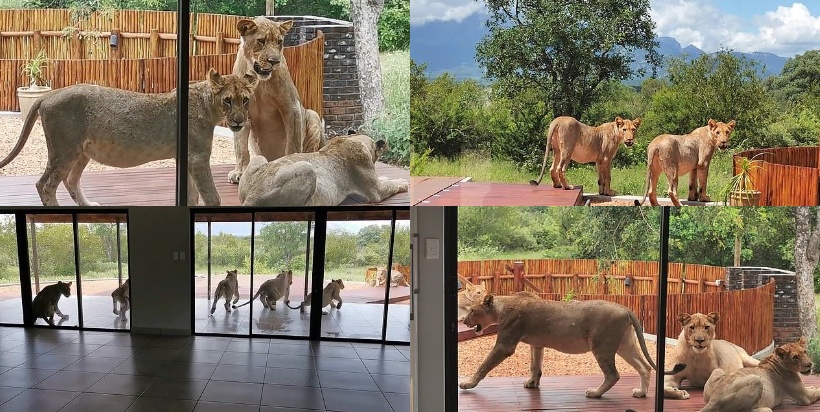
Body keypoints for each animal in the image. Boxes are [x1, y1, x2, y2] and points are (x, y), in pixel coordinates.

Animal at [0, 69, 258, 206]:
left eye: (245, 100)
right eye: (228, 101)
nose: (239, 121)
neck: (208, 104)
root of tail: (49, 94)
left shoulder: (187, 158)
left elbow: (192, 194)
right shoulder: (198, 157)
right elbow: (211, 196)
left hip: (81, 152)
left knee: (71, 181)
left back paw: (89, 205)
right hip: (63, 150)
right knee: (45, 185)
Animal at [228, 17, 326, 184]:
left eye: (279, 42)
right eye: (261, 41)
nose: (274, 61)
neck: (258, 80)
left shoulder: (292, 108)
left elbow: (293, 143)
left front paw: (291, 163)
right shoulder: (239, 111)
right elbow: (240, 147)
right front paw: (239, 172)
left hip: (313, 115)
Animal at [238, 134, 408, 206]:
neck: (354, 139)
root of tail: (252, 195)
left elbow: (385, 180)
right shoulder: (375, 191)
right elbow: (391, 185)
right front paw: (403, 182)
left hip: (259, 159)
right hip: (307, 168)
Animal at [459, 292, 685, 398]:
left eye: (472, 310)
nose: (464, 321)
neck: (501, 306)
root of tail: (625, 309)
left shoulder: (505, 345)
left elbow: (483, 365)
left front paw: (467, 384)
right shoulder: (537, 344)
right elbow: (535, 365)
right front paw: (532, 383)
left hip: (601, 346)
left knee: (613, 375)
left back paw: (595, 393)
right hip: (624, 345)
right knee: (644, 367)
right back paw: (641, 393)